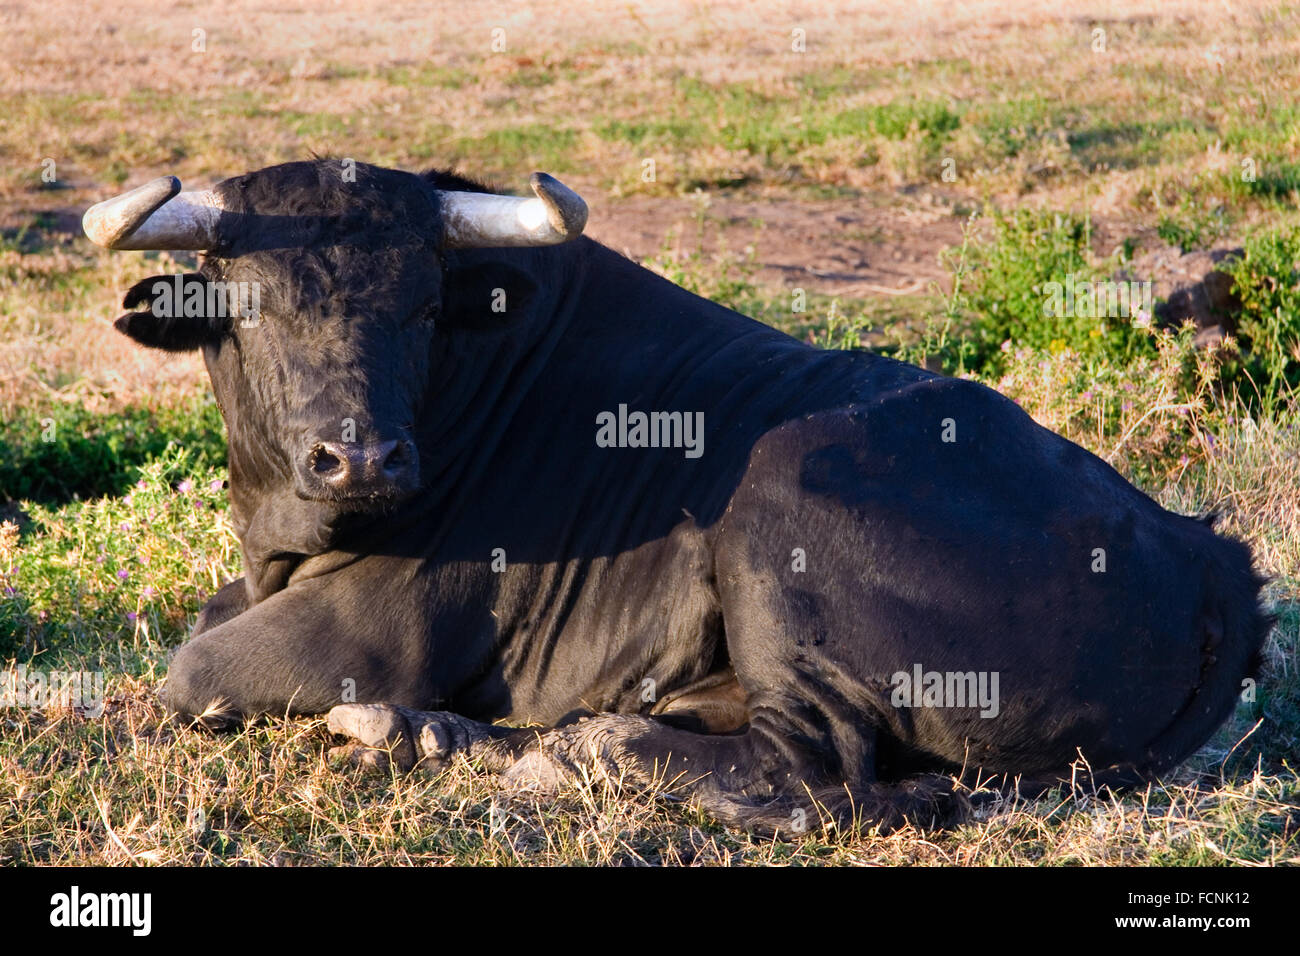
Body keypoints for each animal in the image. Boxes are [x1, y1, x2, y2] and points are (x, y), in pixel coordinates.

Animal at [83, 160, 1269, 835]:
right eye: (250, 305)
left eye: (423, 305)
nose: (364, 457)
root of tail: (1203, 552)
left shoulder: (370, 632)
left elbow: (192, 671)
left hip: (779, 505)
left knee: (825, 777)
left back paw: (538, 753)